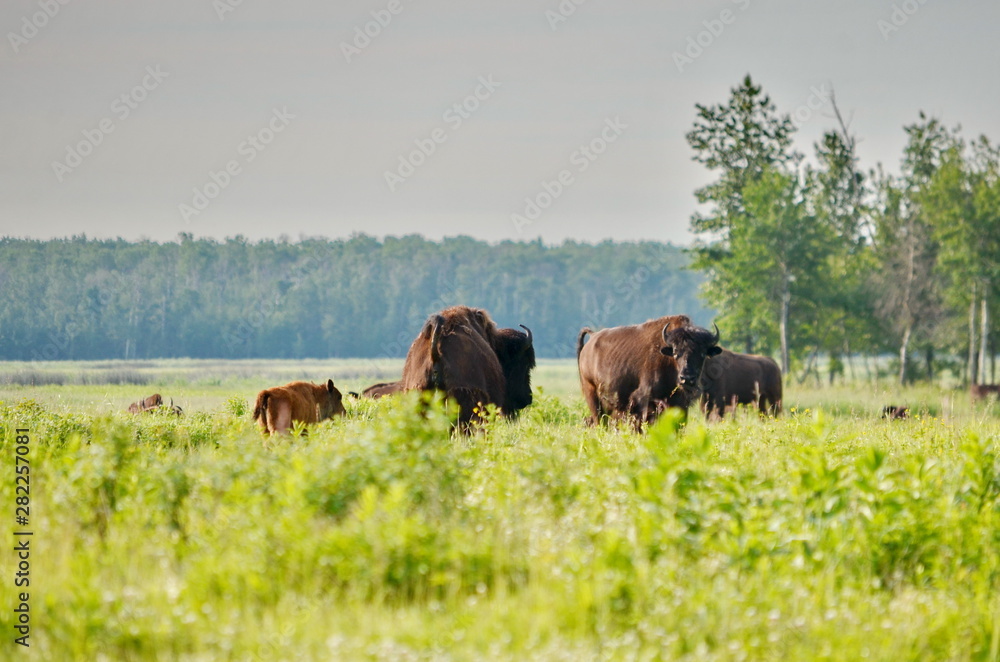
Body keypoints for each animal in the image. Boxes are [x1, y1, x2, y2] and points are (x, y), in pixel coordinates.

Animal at [577, 315, 722, 429]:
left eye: (702, 353)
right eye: (675, 353)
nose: (687, 378)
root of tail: (592, 338)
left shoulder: (680, 404)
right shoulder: (643, 402)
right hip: (592, 394)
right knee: (598, 421)